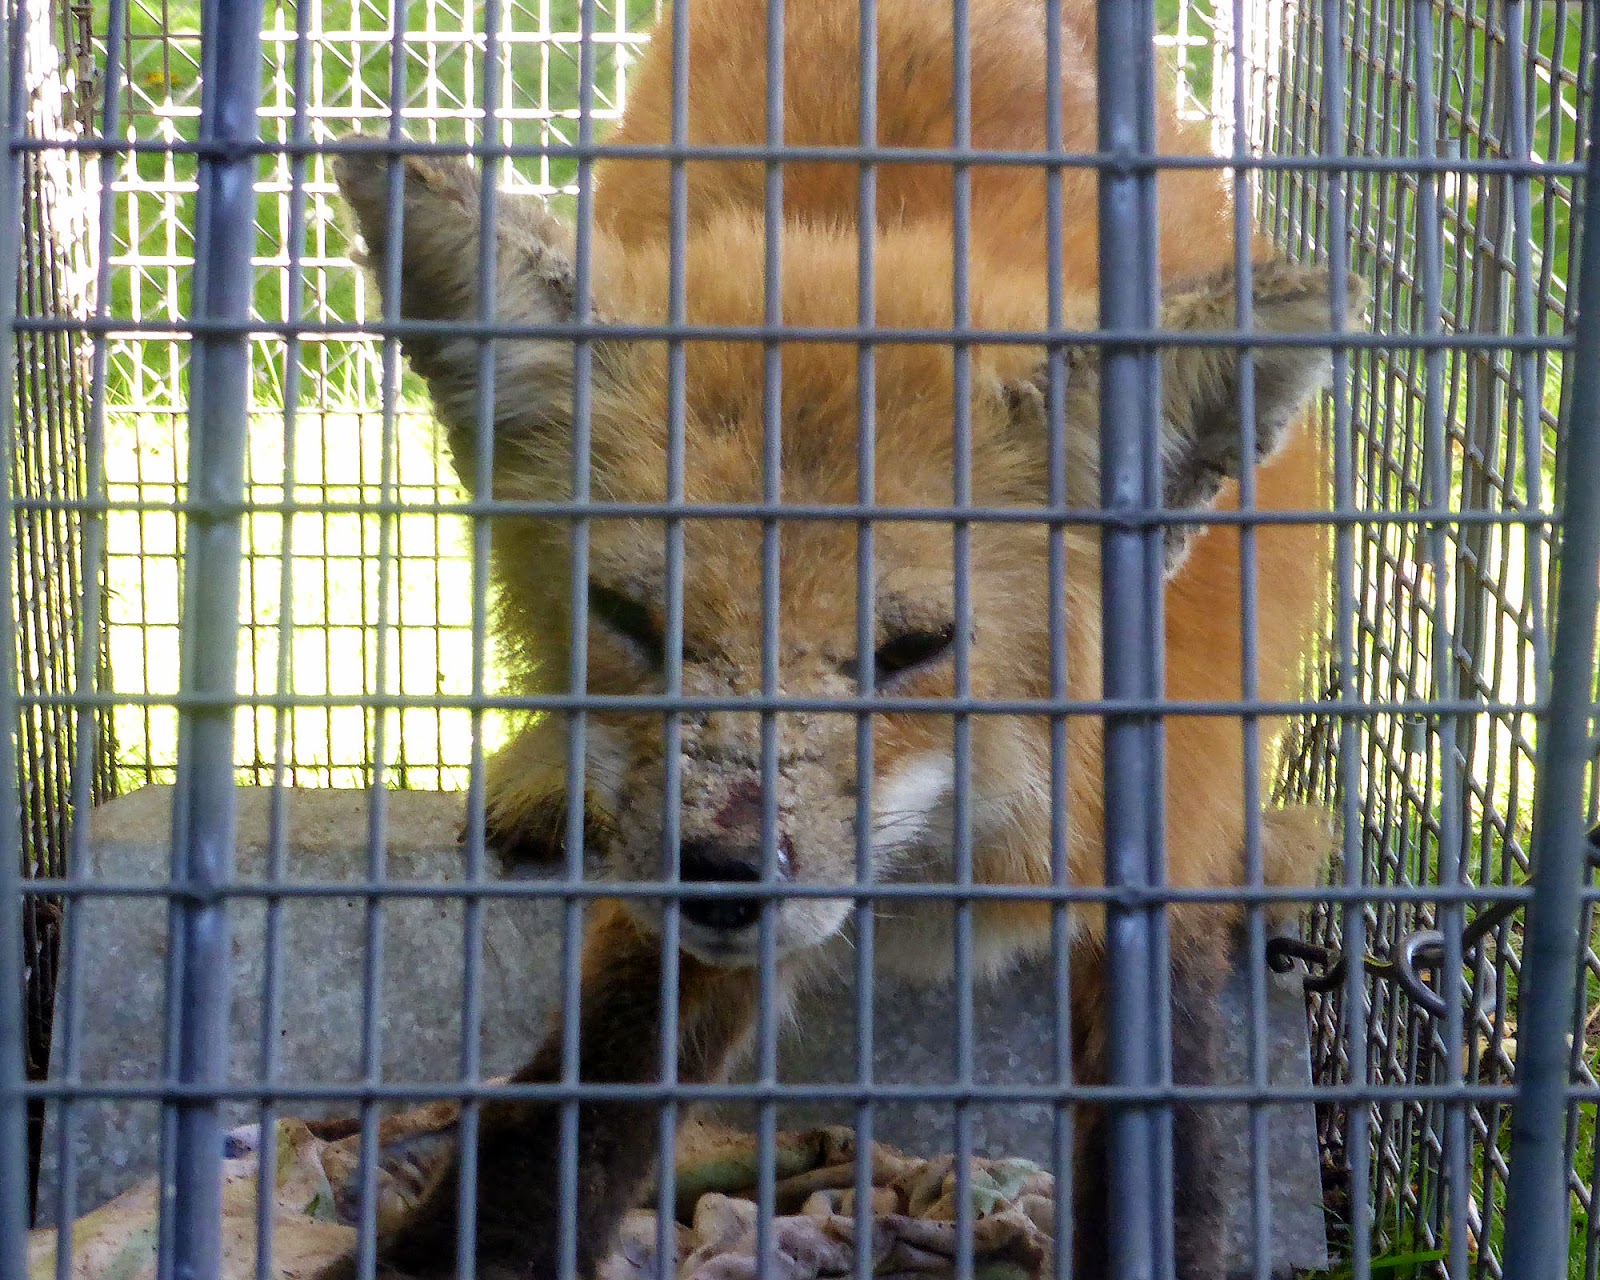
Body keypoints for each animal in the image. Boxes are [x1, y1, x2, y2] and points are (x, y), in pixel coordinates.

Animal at [317, 1, 1365, 1277]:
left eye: (911, 647)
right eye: (631, 619)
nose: (719, 877)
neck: (973, 835)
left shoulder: (1164, 824)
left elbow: (1162, 1149)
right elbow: (578, 1095)